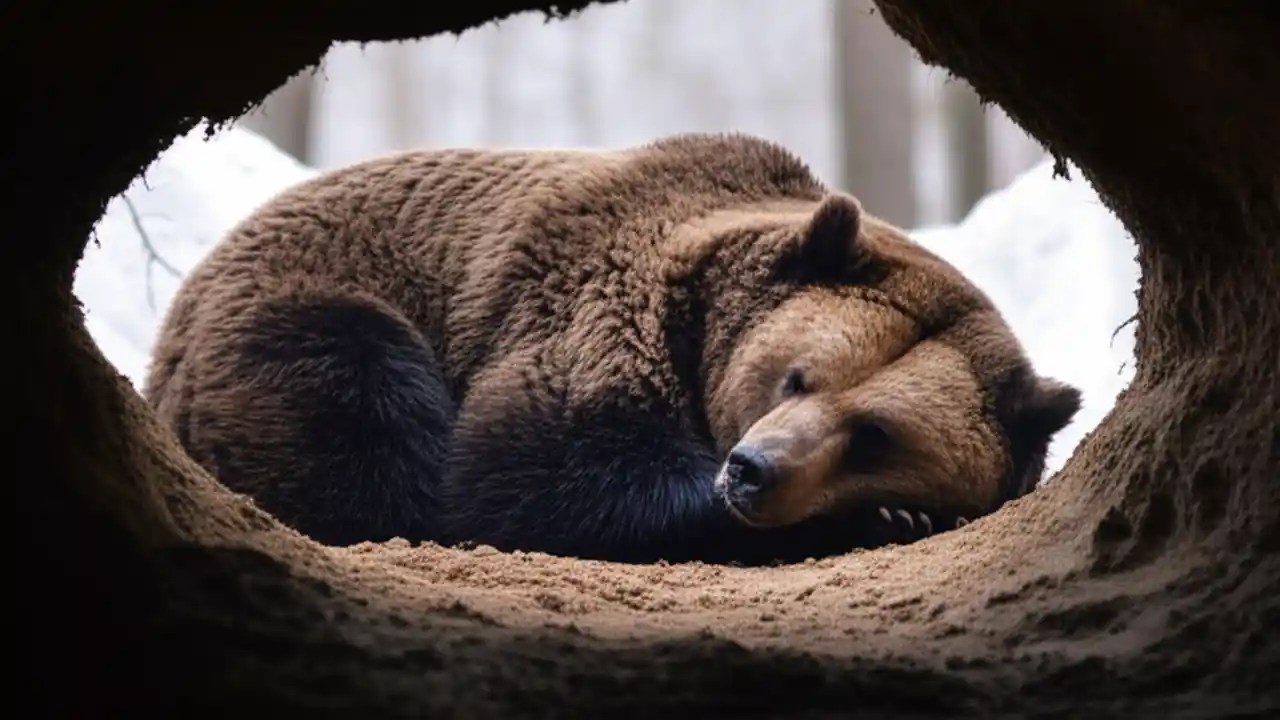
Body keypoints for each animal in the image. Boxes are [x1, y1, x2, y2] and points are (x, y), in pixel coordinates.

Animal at [143, 132, 1082, 566]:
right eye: (795, 376)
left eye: (877, 433)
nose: (751, 471)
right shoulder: (595, 305)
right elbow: (533, 469)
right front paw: (874, 519)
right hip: (298, 319)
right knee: (370, 413)